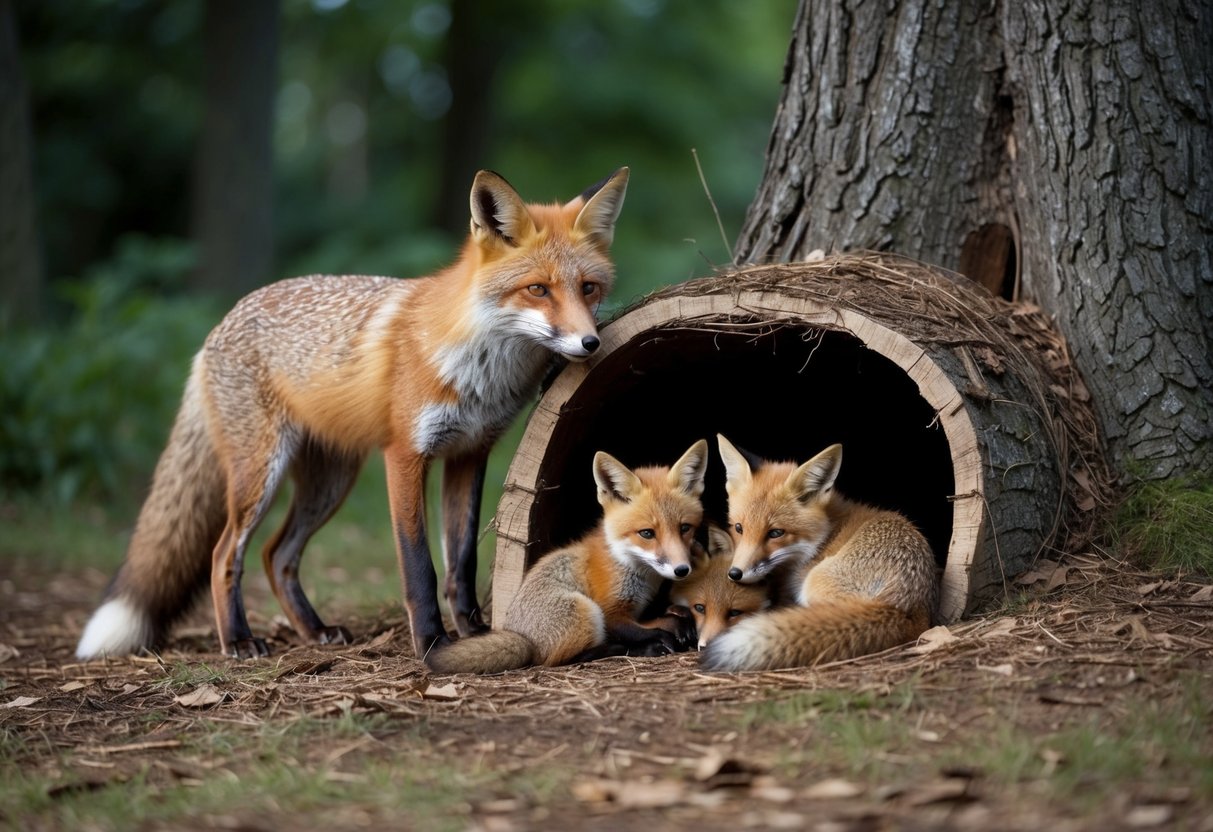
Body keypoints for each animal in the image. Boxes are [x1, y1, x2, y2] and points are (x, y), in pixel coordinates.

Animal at [75, 167, 630, 662]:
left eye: (588, 288)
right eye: (538, 289)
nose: (590, 343)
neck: (479, 369)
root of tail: (222, 321)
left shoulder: (469, 453)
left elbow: (461, 561)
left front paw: (474, 633)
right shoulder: (405, 455)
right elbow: (421, 566)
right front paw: (432, 644)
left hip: (330, 482)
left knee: (276, 554)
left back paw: (315, 631)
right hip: (261, 475)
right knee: (224, 554)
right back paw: (237, 640)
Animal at [425, 440, 709, 674]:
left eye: (685, 528)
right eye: (647, 533)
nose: (681, 569)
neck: (627, 562)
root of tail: (522, 636)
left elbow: (657, 619)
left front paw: (678, 620)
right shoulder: (610, 610)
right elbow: (637, 630)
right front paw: (663, 637)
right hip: (585, 611)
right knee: (566, 659)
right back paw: (631, 649)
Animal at [700, 434, 939, 671]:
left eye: (776, 533)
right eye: (739, 528)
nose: (735, 573)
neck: (825, 536)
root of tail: (899, 607)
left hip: (814, 584)